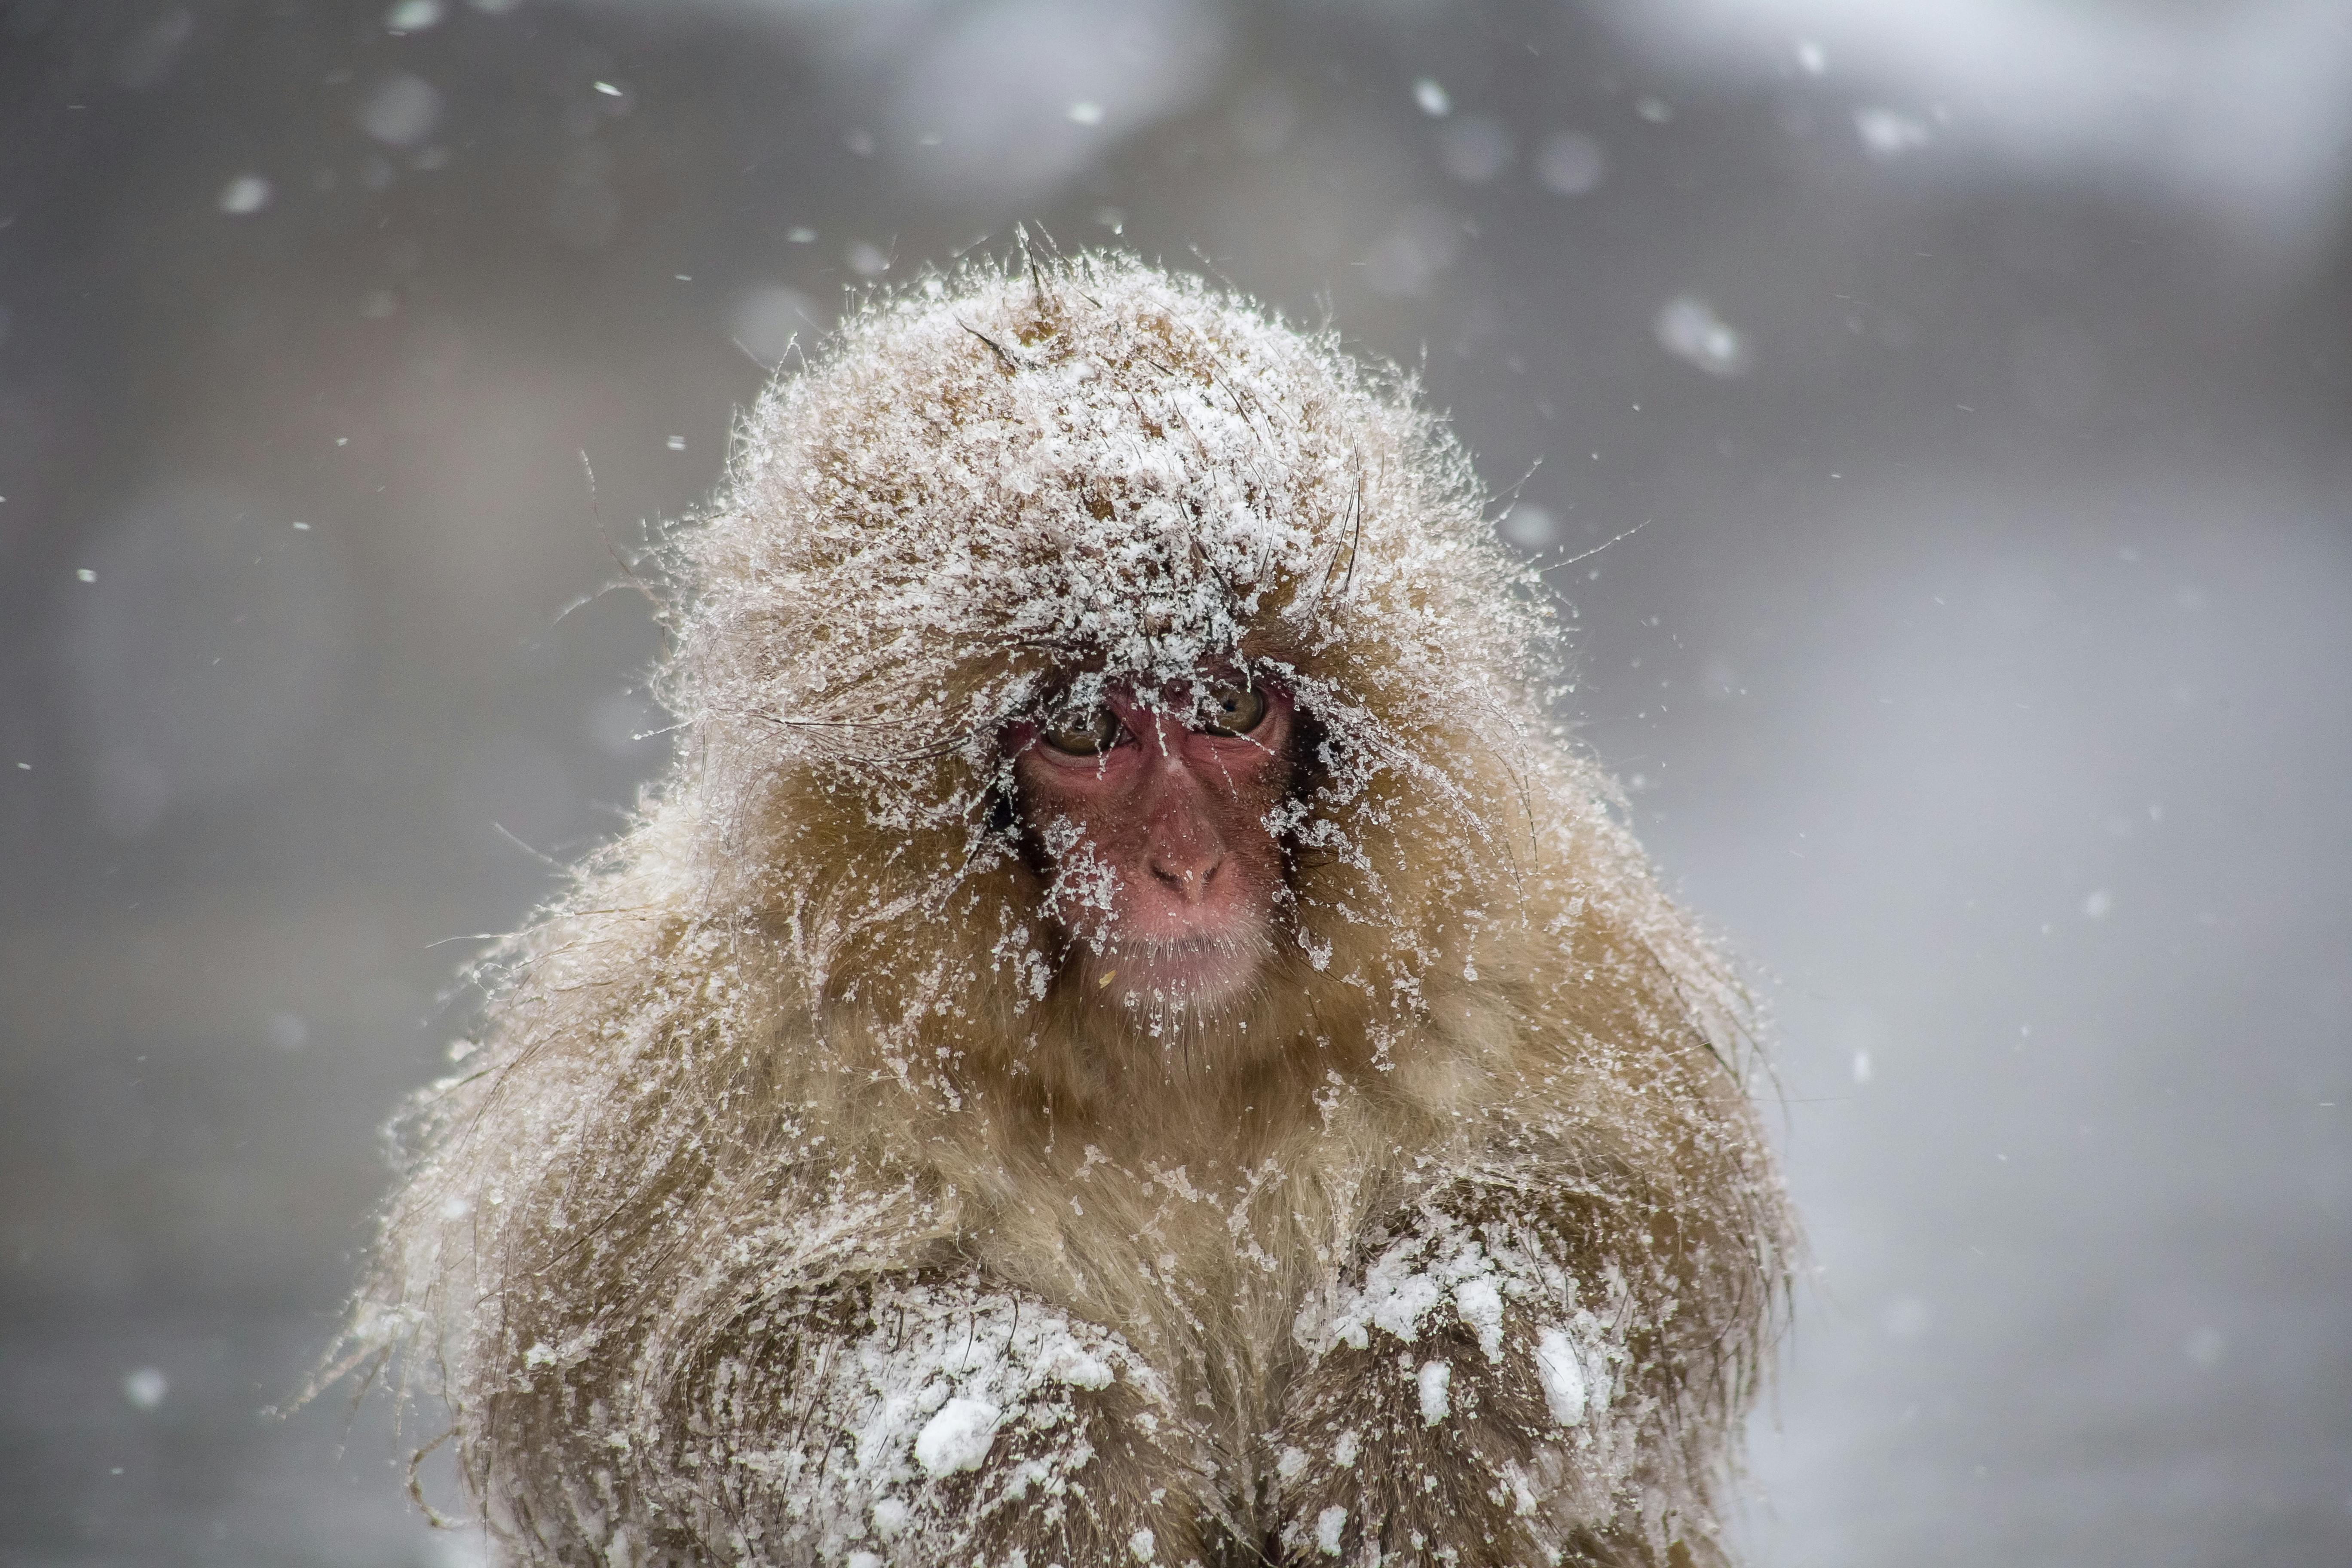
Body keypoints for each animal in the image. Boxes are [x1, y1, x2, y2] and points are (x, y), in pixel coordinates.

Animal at [342, 255, 1793, 1568]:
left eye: (1226, 706)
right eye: (1087, 731)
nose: (1188, 866)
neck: (1166, 1072)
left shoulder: (1503, 937)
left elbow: (1616, 1206)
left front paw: (1420, 1392)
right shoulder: (705, 1042)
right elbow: (662, 1371)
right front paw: (1043, 1445)